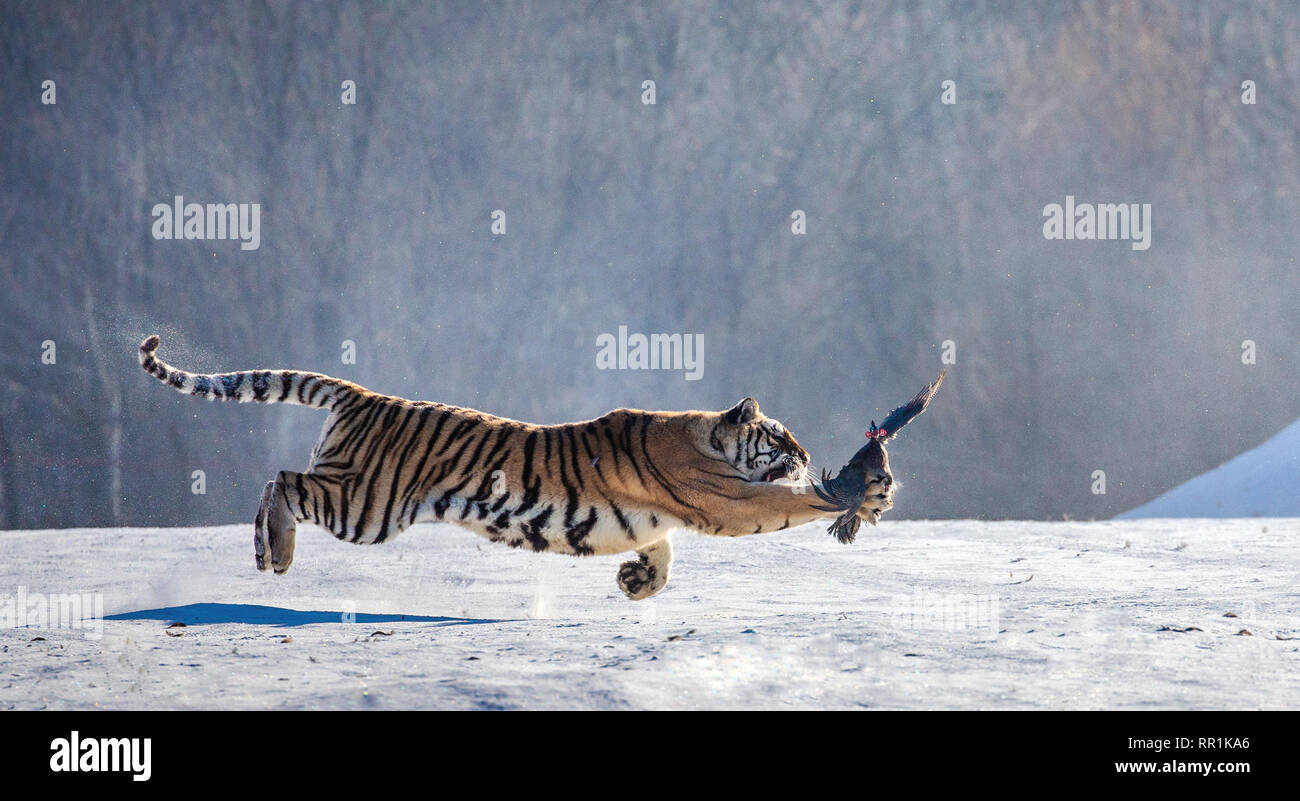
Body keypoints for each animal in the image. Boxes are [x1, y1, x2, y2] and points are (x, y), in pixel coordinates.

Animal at [137, 335, 892, 599]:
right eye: (781, 436)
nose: (804, 454)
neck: (704, 434)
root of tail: (362, 394)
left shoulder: (662, 520)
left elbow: (664, 551)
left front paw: (637, 582)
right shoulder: (726, 501)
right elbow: (788, 505)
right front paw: (854, 489)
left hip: (361, 498)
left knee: (283, 479)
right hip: (367, 505)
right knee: (282, 481)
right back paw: (276, 552)